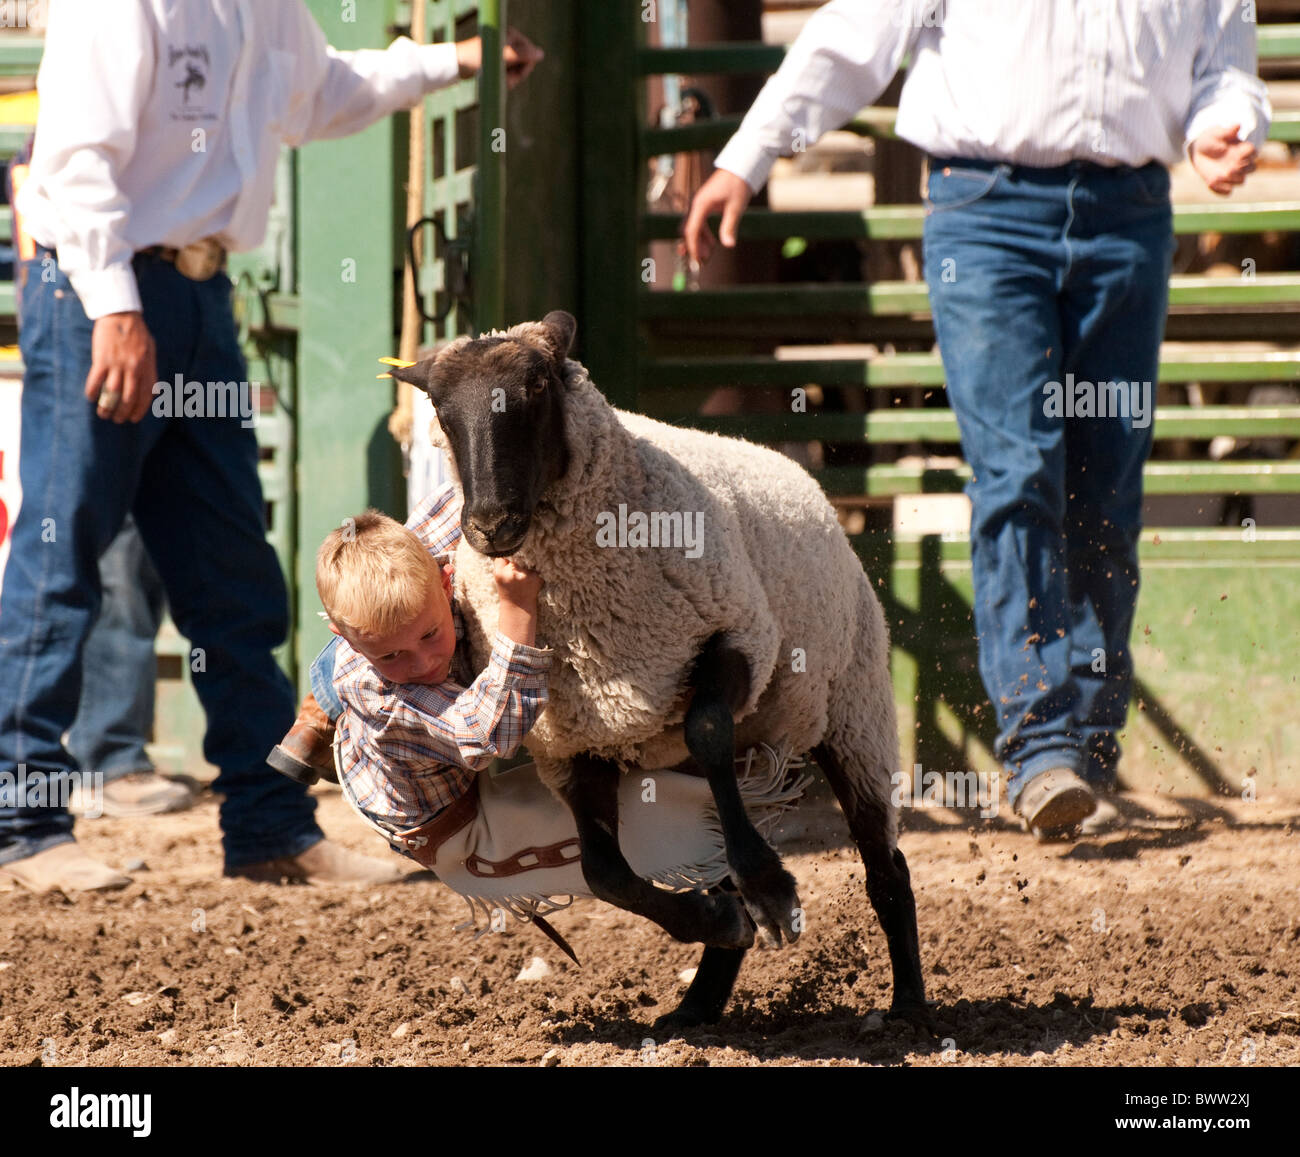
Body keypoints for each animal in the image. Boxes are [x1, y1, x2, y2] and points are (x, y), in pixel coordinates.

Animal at [389, 311, 926, 1029]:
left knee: (885, 865)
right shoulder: (571, 739)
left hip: (852, 709)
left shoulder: (738, 637)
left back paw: (909, 1005)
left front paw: (771, 888)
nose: (490, 525)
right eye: (442, 412)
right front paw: (718, 918)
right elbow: (603, 872)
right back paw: (698, 1002)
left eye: (538, 387)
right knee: (716, 837)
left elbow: (706, 726)